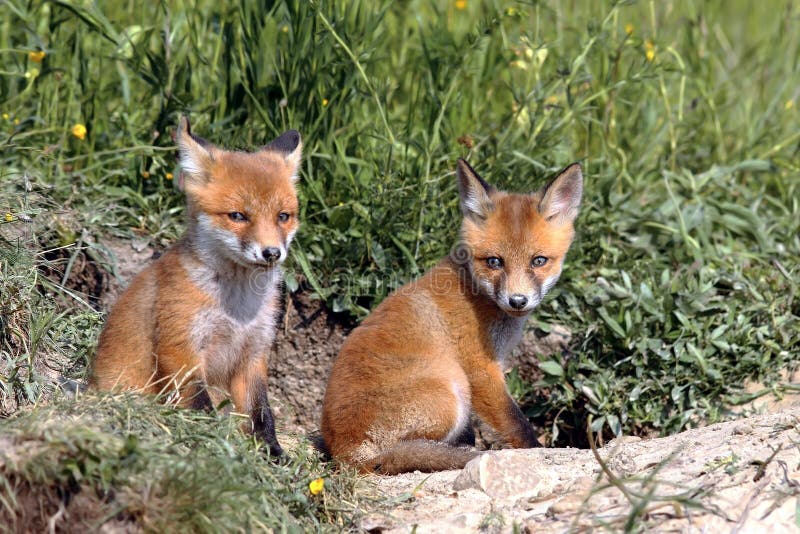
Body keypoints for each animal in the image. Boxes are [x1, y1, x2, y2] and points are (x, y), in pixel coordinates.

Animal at [90, 116, 302, 457]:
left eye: (283, 216)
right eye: (238, 216)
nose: (271, 253)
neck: (237, 311)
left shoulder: (253, 354)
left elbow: (260, 413)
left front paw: (272, 453)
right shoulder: (181, 347)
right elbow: (201, 406)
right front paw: (212, 443)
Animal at [320, 158, 582, 474]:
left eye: (539, 261)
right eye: (495, 261)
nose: (517, 301)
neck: (479, 293)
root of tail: (345, 454)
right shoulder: (480, 369)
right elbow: (517, 423)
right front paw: (534, 450)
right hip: (452, 390)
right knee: (407, 451)